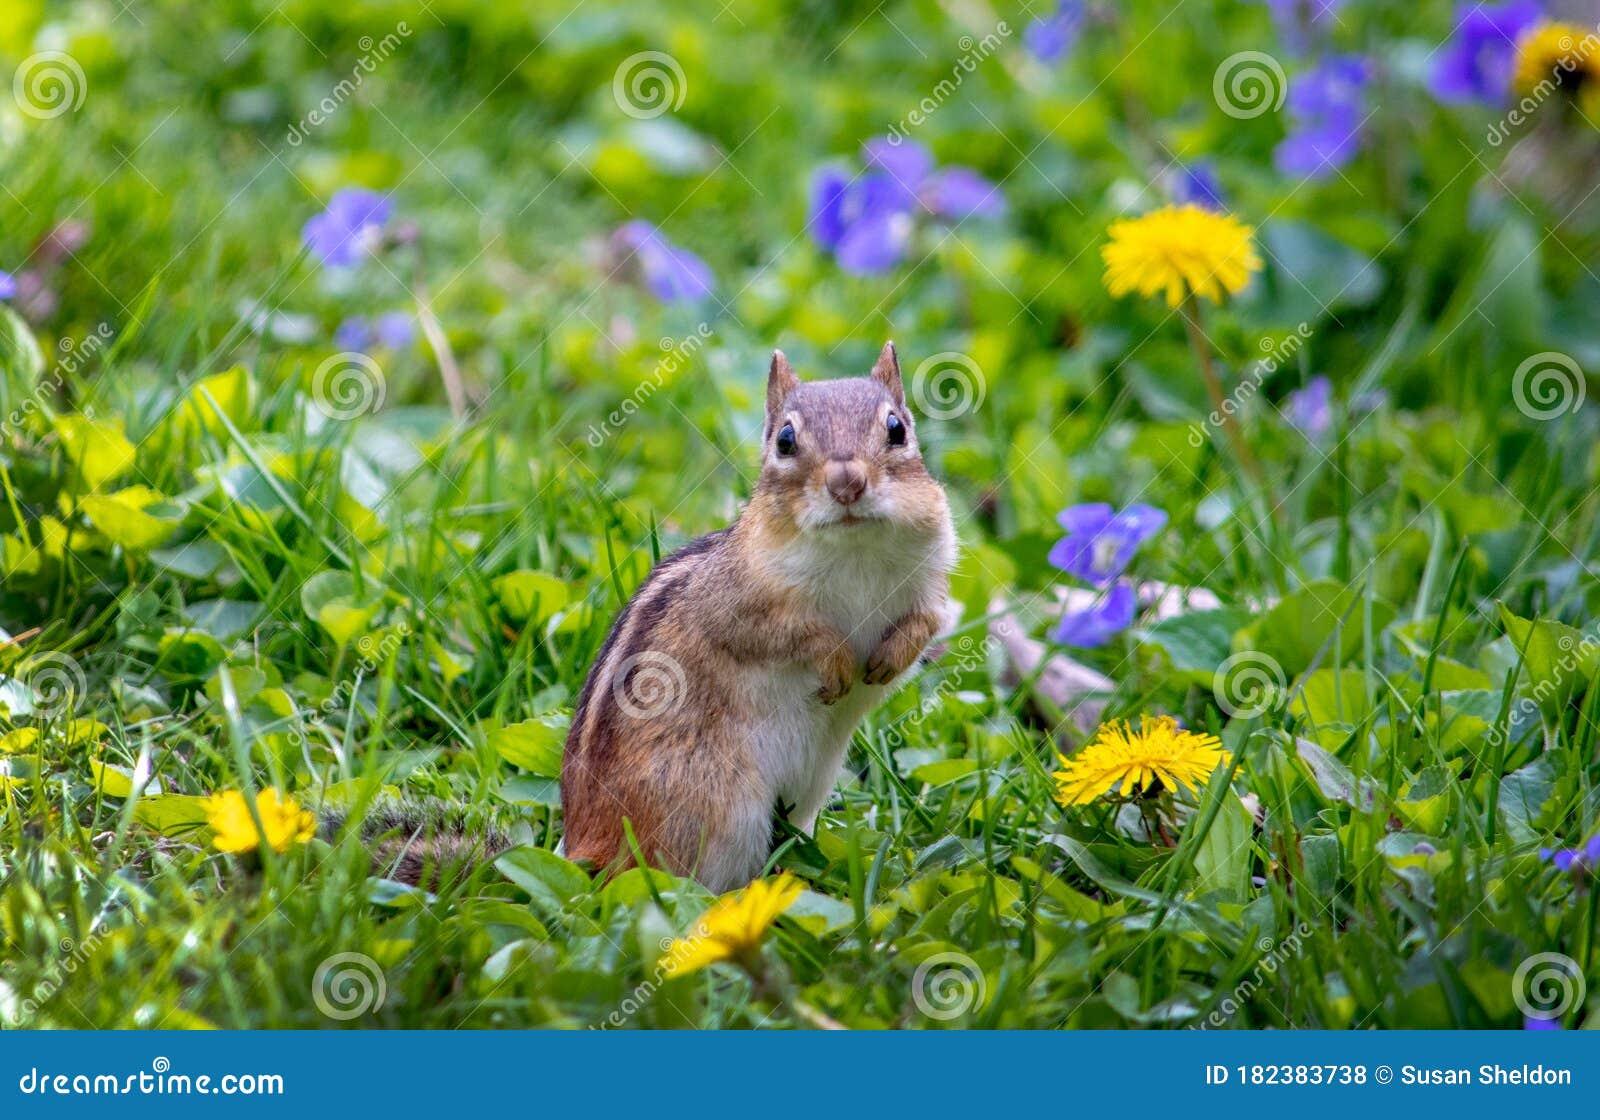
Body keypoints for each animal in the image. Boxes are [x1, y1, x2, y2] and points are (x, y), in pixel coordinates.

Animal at [559, 342, 956, 891]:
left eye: (897, 428)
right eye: (785, 439)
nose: (847, 482)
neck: (854, 546)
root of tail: (586, 841)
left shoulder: (931, 583)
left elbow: (925, 623)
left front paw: (885, 662)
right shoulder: (737, 604)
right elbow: (787, 634)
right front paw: (837, 663)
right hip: (721, 810)